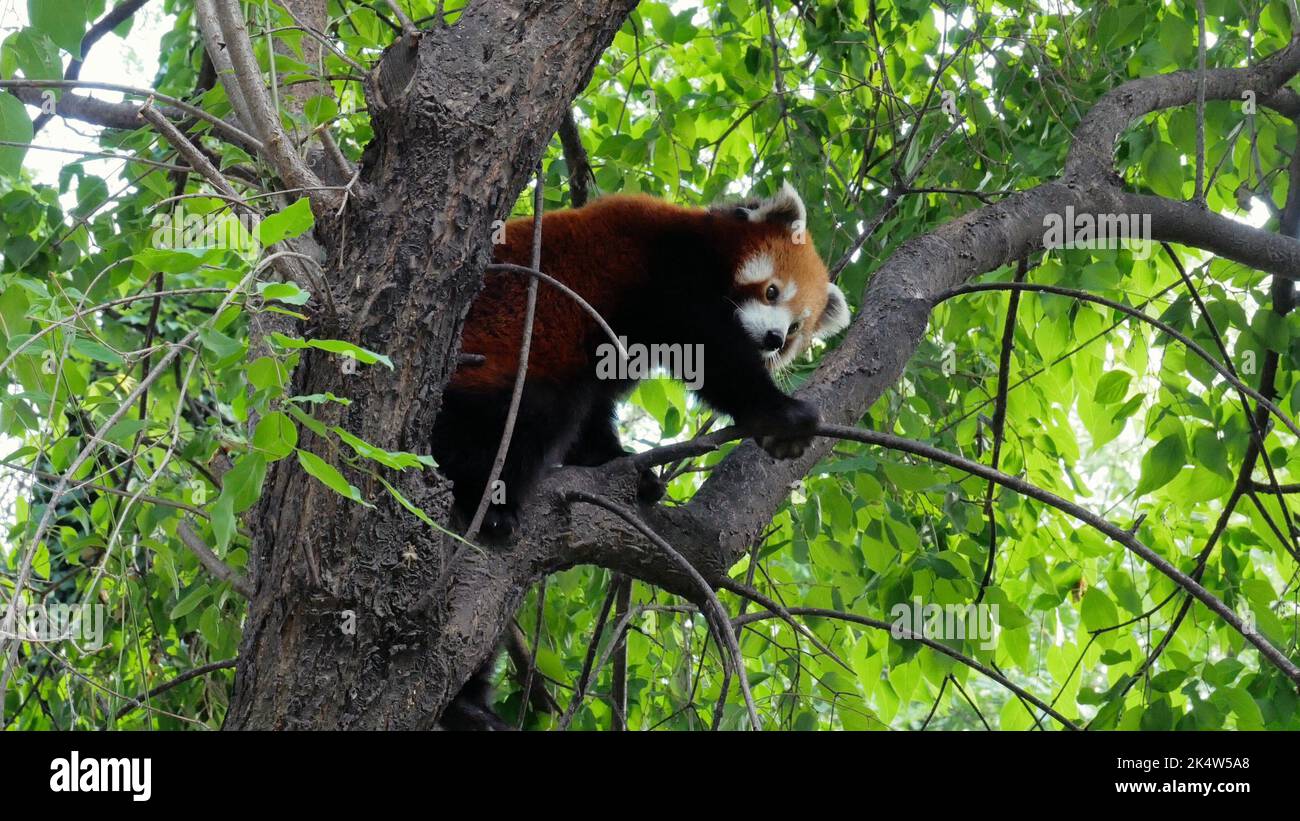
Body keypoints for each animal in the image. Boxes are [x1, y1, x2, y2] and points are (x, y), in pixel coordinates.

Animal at [431, 181, 850, 541]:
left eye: (795, 329)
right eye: (772, 292)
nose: (773, 339)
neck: (705, 248)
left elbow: (595, 412)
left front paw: (616, 462)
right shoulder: (665, 274)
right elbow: (714, 355)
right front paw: (779, 415)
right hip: (504, 348)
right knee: (522, 415)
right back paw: (486, 500)